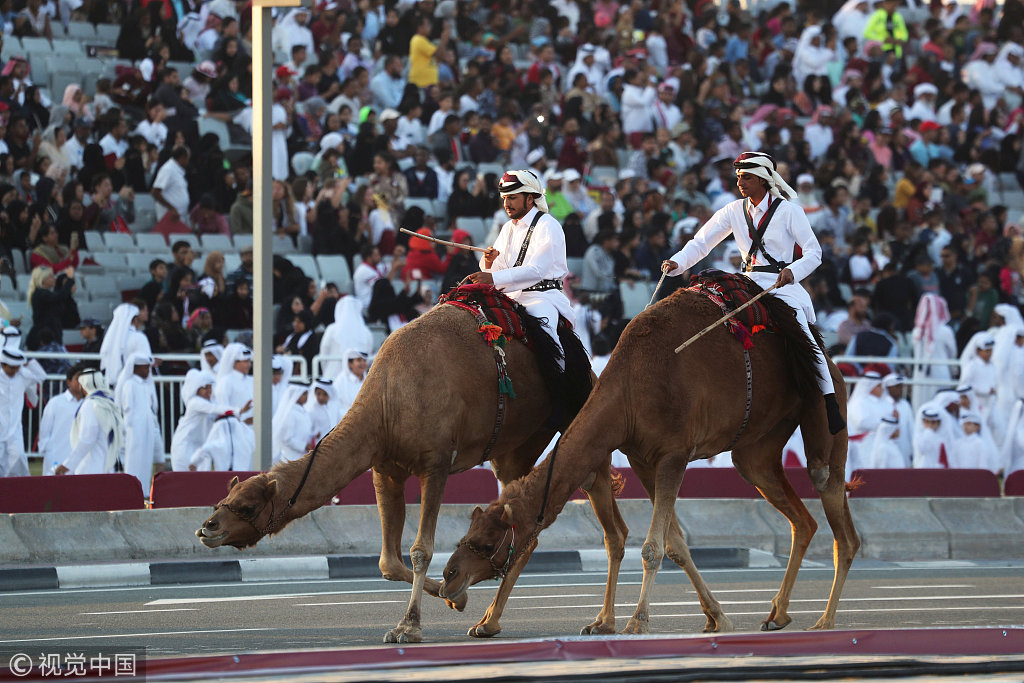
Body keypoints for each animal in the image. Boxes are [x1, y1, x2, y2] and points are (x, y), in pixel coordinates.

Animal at [194, 297, 624, 644]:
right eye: (223, 497)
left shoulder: (436, 463)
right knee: (522, 525)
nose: (207, 528)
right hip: (514, 447)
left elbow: (420, 550)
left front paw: (409, 626)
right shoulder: (386, 467)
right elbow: (388, 561)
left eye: (247, 506)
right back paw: (489, 621)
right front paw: (456, 596)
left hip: (577, 418)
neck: (388, 399)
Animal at [440, 282, 859, 638]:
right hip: (756, 451)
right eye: (466, 535)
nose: (448, 577)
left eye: (487, 542)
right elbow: (675, 545)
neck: (631, 388)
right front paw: (716, 618)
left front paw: (637, 622)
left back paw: (824, 621)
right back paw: (777, 613)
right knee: (801, 518)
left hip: (826, 411)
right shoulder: (642, 458)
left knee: (835, 507)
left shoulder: (674, 454)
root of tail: (834, 366)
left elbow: (653, 548)